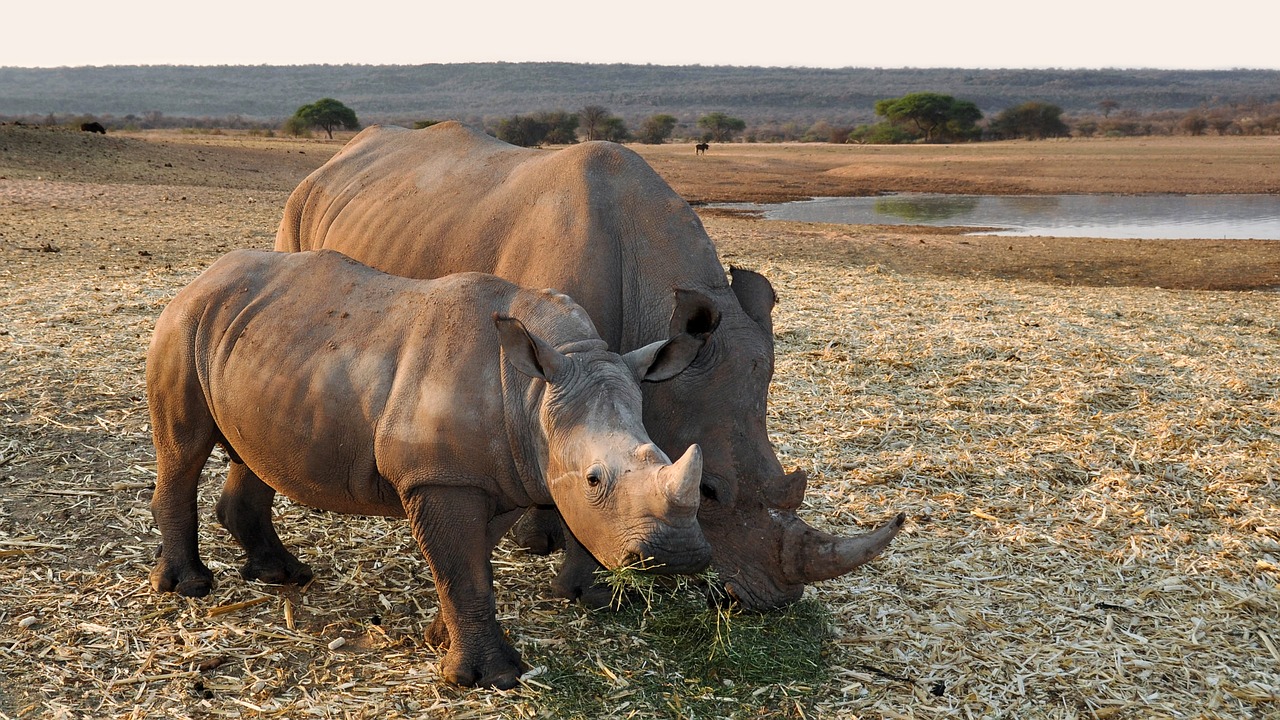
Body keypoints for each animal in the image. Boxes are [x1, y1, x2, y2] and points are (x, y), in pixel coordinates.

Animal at [146, 248, 710, 688]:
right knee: (184, 448)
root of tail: (203, 276)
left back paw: (284, 575)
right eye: (594, 480)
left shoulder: (496, 472)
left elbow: (471, 559)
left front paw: (440, 637)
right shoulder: (440, 476)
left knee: (253, 453)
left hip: (258, 343)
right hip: (184, 323)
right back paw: (189, 587)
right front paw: (491, 678)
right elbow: (462, 566)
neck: (534, 394)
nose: (677, 558)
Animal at [275, 121, 904, 609]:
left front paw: (579, 576)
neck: (656, 305)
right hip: (298, 205)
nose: (776, 600)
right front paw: (563, 569)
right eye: (709, 493)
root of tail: (340, 156)